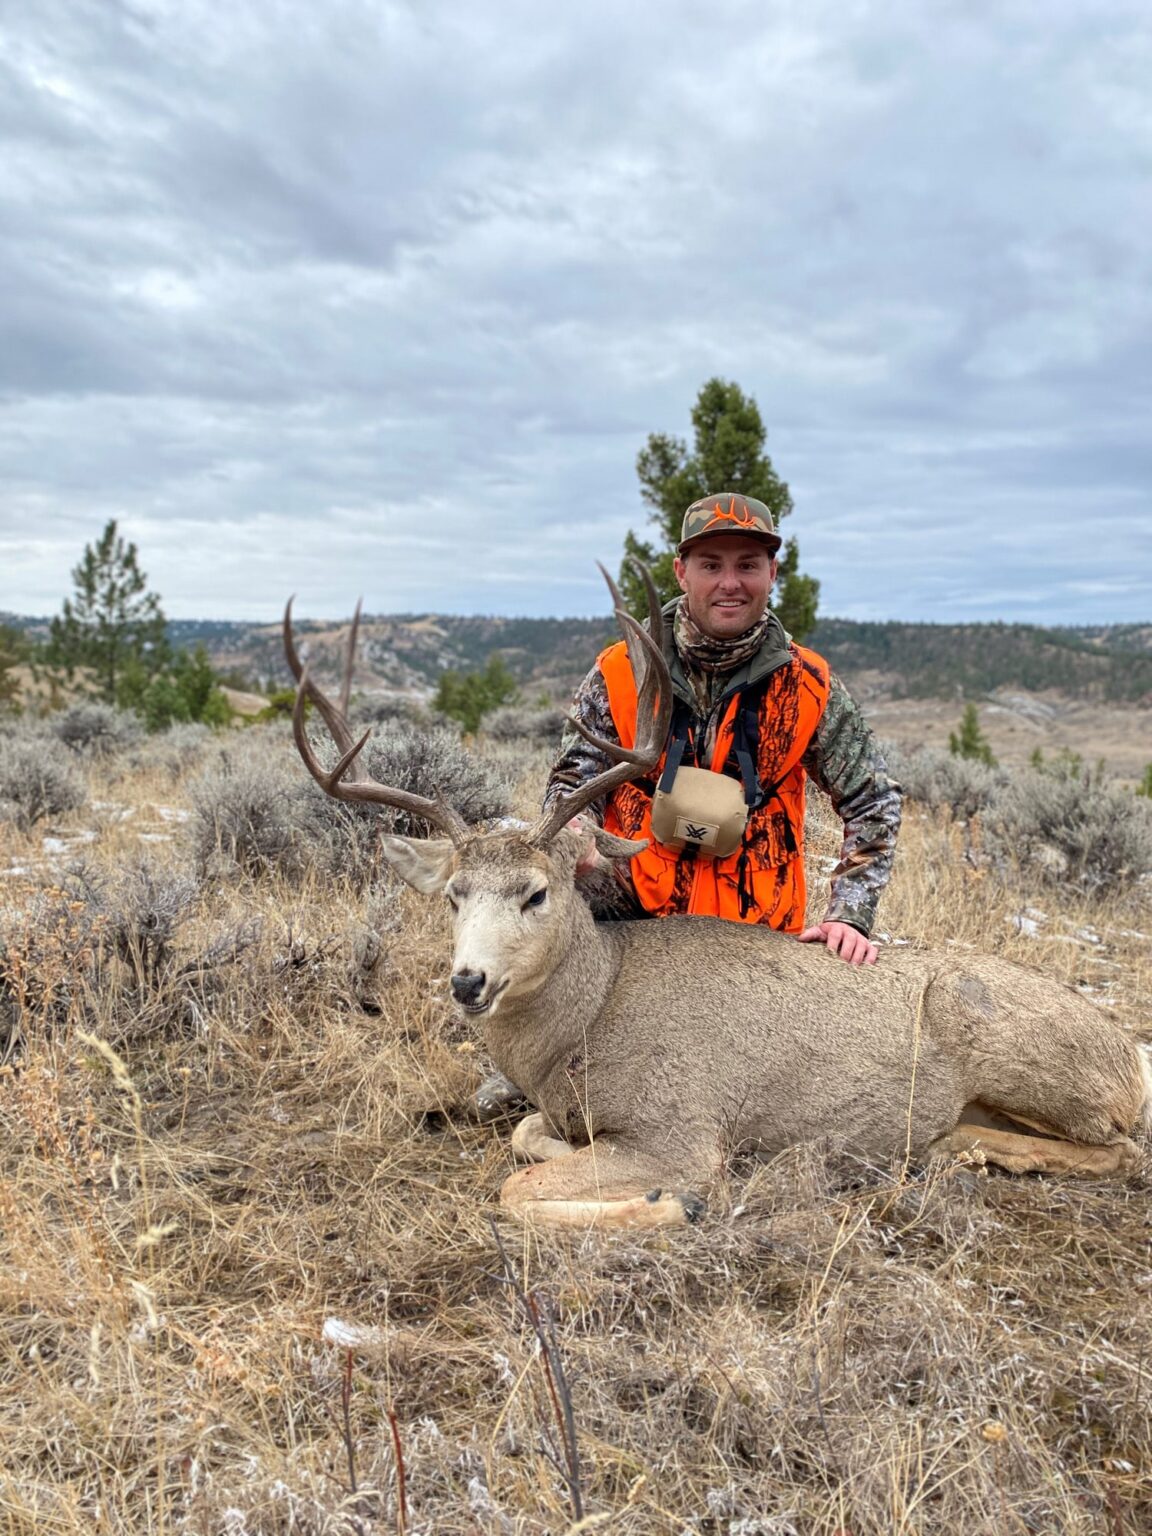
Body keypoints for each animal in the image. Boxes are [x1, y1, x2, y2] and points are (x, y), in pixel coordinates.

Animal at [283, 569, 1152, 1229]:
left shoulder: (684, 1127)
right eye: (453, 896)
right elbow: (529, 1136)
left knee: (1119, 1149)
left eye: (536, 894)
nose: (468, 982)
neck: (589, 1017)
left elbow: (519, 1186)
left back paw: (955, 1148)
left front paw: (676, 1205)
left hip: (1019, 1051)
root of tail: (1126, 1050)